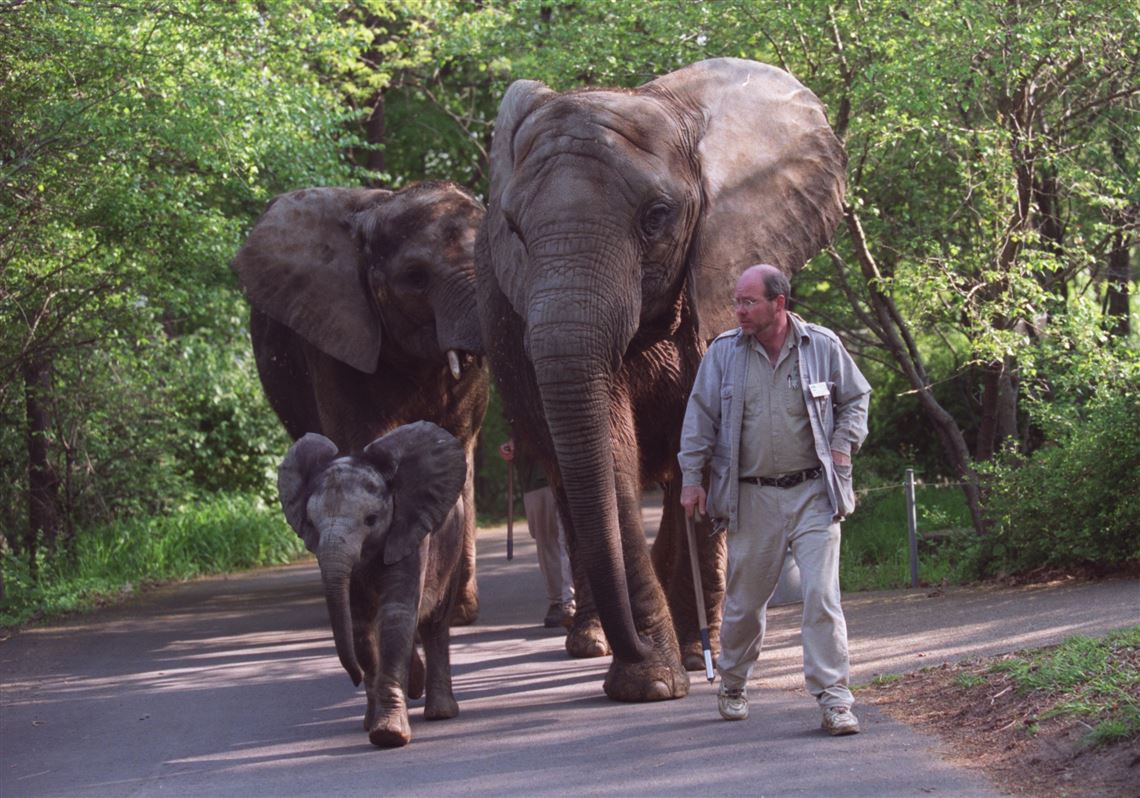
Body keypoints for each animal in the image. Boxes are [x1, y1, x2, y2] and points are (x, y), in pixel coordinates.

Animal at [278, 422, 468, 748]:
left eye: (371, 519)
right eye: (311, 524)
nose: (353, 678)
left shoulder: (410, 530)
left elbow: (396, 614)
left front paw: (388, 735)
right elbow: (359, 625)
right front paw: (373, 722)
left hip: (454, 542)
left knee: (435, 623)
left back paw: (440, 713)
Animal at [475, 58, 846, 702]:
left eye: (656, 218)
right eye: (515, 229)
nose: (641, 649)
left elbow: (714, 441)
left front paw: (690, 658)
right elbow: (610, 450)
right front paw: (649, 682)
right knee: (572, 488)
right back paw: (596, 641)